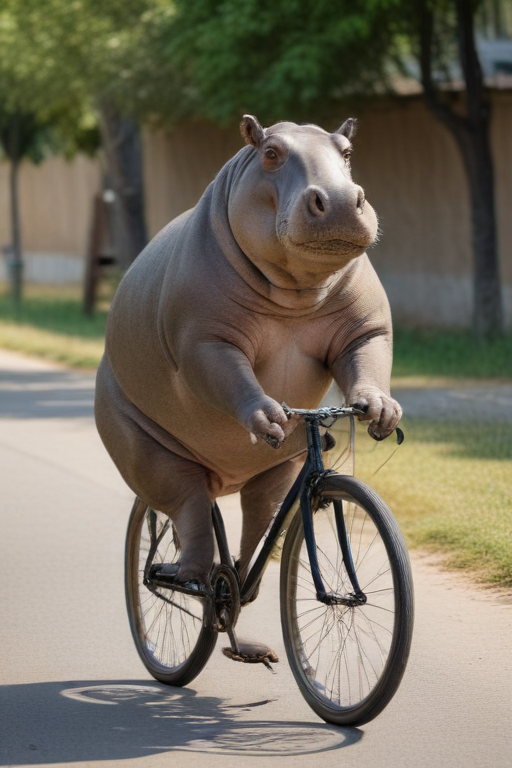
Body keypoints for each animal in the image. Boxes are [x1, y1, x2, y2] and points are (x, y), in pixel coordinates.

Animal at [95, 115, 402, 587]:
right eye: (270, 152)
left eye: (347, 152)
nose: (338, 200)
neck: (295, 295)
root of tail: (225, 478)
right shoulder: (204, 339)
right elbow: (226, 373)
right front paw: (266, 416)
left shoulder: (365, 327)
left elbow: (370, 352)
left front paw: (382, 408)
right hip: (143, 451)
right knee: (186, 509)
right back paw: (189, 575)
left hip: (284, 464)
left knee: (258, 508)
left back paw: (248, 570)